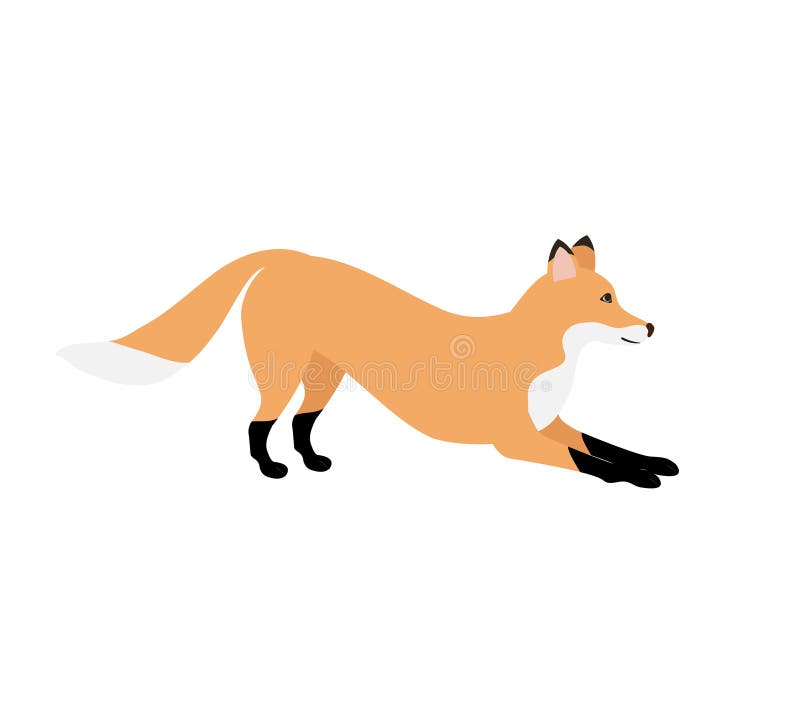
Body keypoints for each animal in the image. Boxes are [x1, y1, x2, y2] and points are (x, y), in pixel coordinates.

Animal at [59, 237, 678, 488]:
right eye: (606, 300)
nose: (651, 326)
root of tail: (287, 256)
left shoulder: (551, 424)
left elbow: (607, 445)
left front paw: (657, 461)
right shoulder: (516, 439)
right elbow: (596, 464)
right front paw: (642, 478)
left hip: (324, 378)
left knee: (302, 423)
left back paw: (312, 462)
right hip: (280, 374)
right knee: (259, 424)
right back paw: (271, 470)